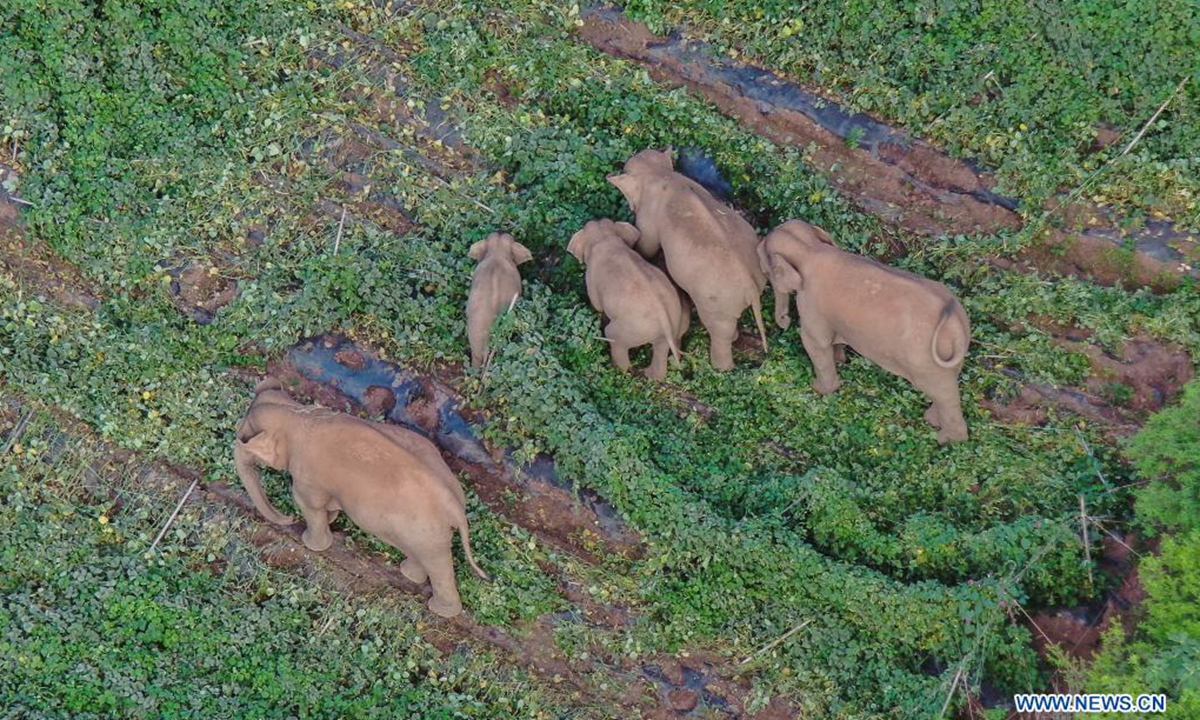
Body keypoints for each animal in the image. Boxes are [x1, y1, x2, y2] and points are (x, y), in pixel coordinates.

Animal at [233, 378, 489, 617]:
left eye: (243, 439)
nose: (288, 520)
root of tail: (455, 506)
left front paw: (311, 543)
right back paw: (409, 574)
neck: (295, 412)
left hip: (427, 534)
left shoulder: (306, 474)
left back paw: (440, 610)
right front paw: (330, 519)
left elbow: (308, 504)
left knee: (438, 565)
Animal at [567, 218, 690, 379]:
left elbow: (597, 305)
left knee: (614, 338)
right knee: (664, 346)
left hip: (630, 329)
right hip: (677, 321)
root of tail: (665, 323)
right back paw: (651, 375)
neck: (605, 238)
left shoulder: (591, 279)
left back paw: (619, 370)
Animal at [608, 147, 767, 371]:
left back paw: (720, 368)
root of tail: (752, 287)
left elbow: (647, 243)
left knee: (720, 332)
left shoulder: (649, 215)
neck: (662, 173)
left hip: (717, 305)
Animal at [758, 220, 971, 444]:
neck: (811, 248)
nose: (784, 321)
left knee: (943, 394)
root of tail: (955, 323)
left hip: (926, 363)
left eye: (767, 270)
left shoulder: (810, 303)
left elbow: (814, 342)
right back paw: (932, 420)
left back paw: (946, 439)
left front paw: (820, 389)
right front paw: (840, 360)